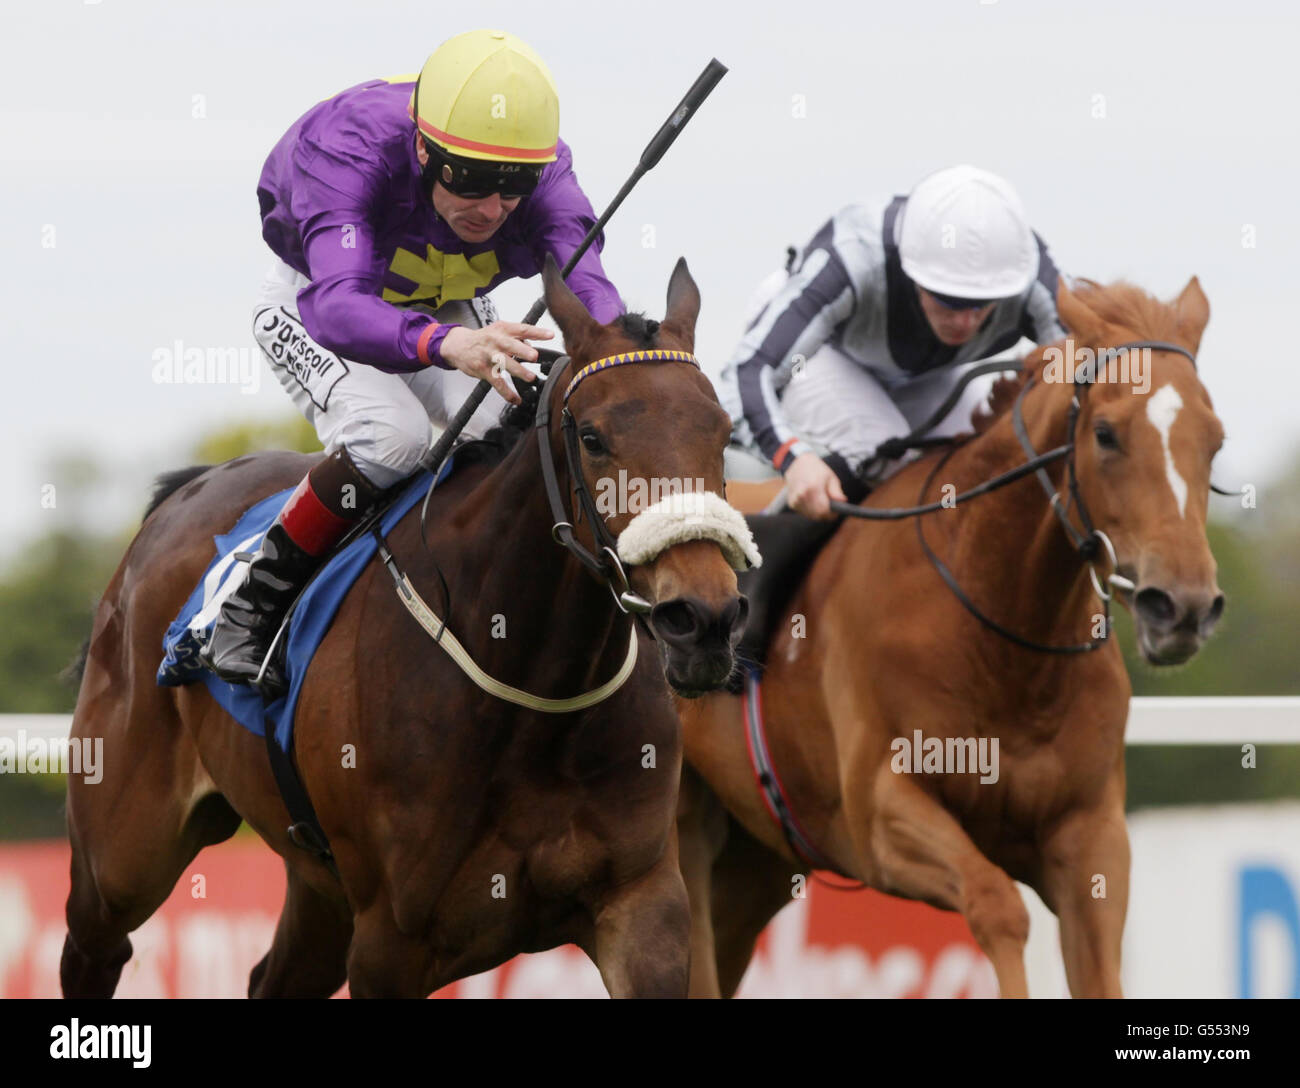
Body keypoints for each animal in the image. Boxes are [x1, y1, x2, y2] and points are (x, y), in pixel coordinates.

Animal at [61, 257, 754, 998]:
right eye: (593, 439)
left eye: (720, 433)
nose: (703, 619)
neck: (530, 690)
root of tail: (180, 498)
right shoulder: (390, 942)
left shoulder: (642, 905)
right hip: (119, 857)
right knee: (94, 947)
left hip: (320, 888)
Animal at [676, 275, 1226, 998]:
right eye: (1106, 434)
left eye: (1215, 440)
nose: (1183, 606)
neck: (1007, 646)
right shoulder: (882, 817)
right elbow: (998, 906)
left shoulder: (1092, 836)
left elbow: (1099, 962)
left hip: (755, 855)